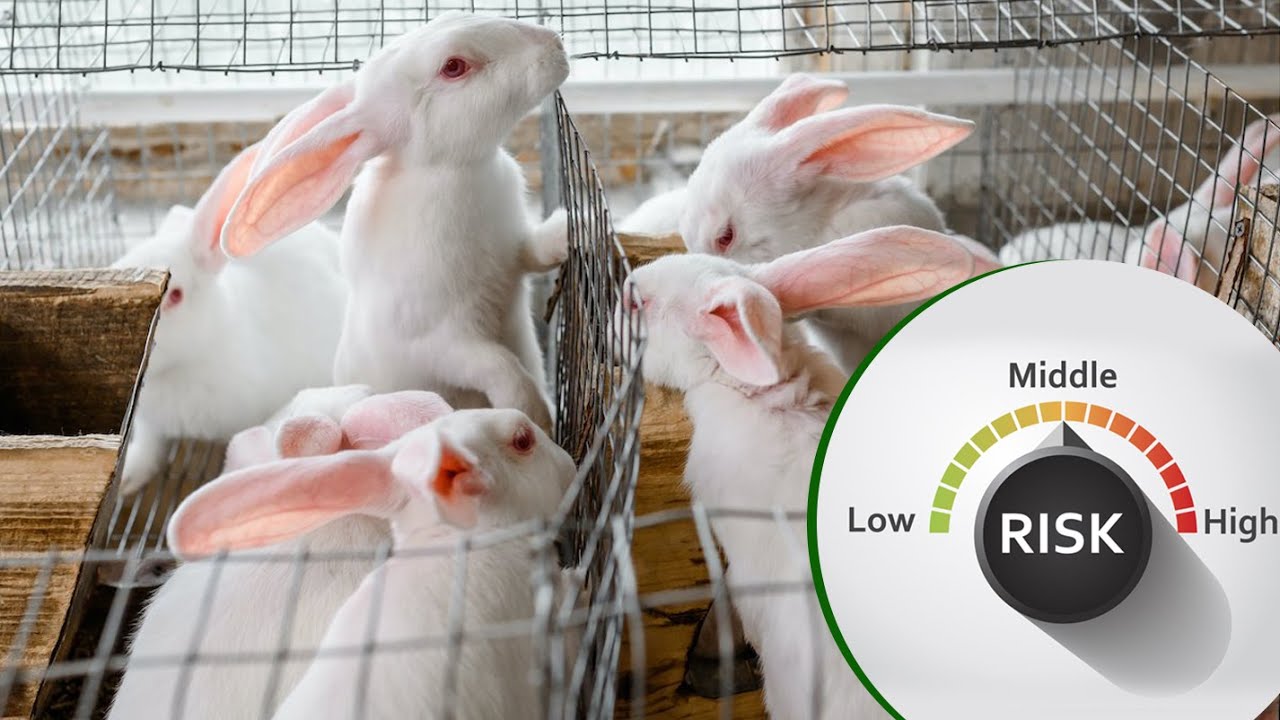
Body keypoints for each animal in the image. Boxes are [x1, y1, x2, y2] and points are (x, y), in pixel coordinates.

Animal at [218, 12, 571, 433]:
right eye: (454, 66)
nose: (556, 42)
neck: (458, 172)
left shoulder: (511, 253)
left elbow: (533, 251)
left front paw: (567, 232)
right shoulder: (442, 341)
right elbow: (500, 368)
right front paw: (535, 418)